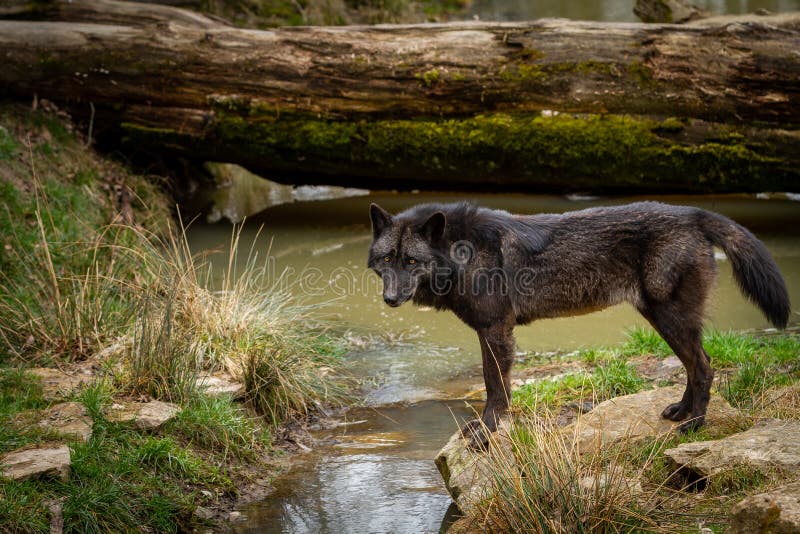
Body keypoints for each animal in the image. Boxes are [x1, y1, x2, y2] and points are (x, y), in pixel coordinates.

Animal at [367, 201, 790, 448]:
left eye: (412, 262)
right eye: (387, 259)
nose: (389, 300)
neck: (461, 251)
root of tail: (694, 214)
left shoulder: (495, 330)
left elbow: (495, 387)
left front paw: (486, 432)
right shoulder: (490, 332)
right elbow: (495, 386)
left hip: (671, 319)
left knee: (703, 366)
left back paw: (696, 425)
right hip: (663, 320)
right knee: (696, 365)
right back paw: (681, 412)